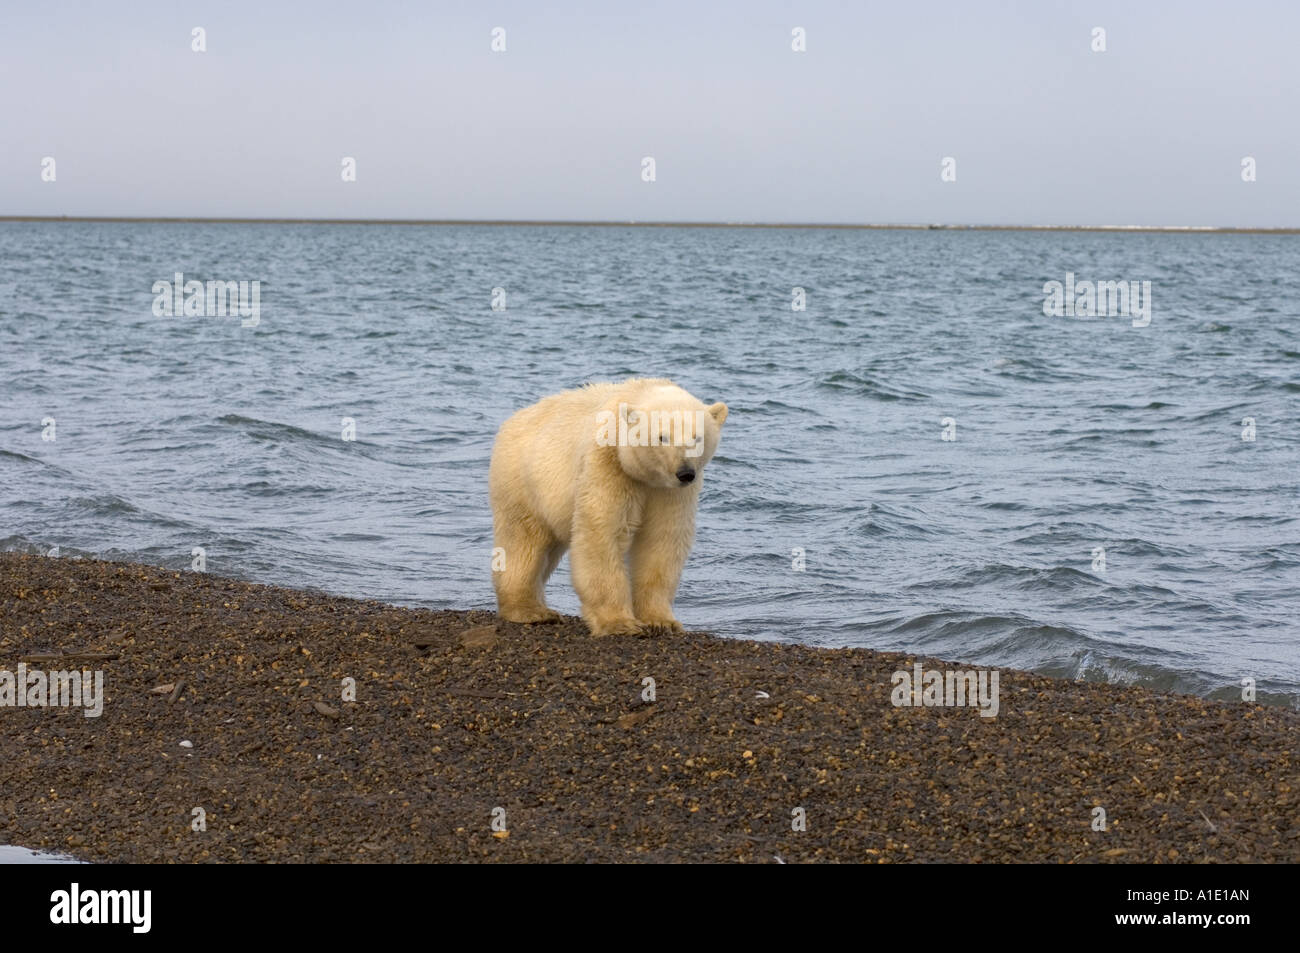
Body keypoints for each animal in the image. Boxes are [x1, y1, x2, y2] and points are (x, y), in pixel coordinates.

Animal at [489, 378, 728, 637]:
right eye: (662, 437)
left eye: (697, 438)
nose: (685, 473)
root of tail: (513, 420)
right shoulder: (608, 464)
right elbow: (602, 534)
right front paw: (620, 623)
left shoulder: (669, 492)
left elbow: (661, 540)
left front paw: (662, 621)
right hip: (523, 481)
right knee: (524, 542)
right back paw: (530, 610)